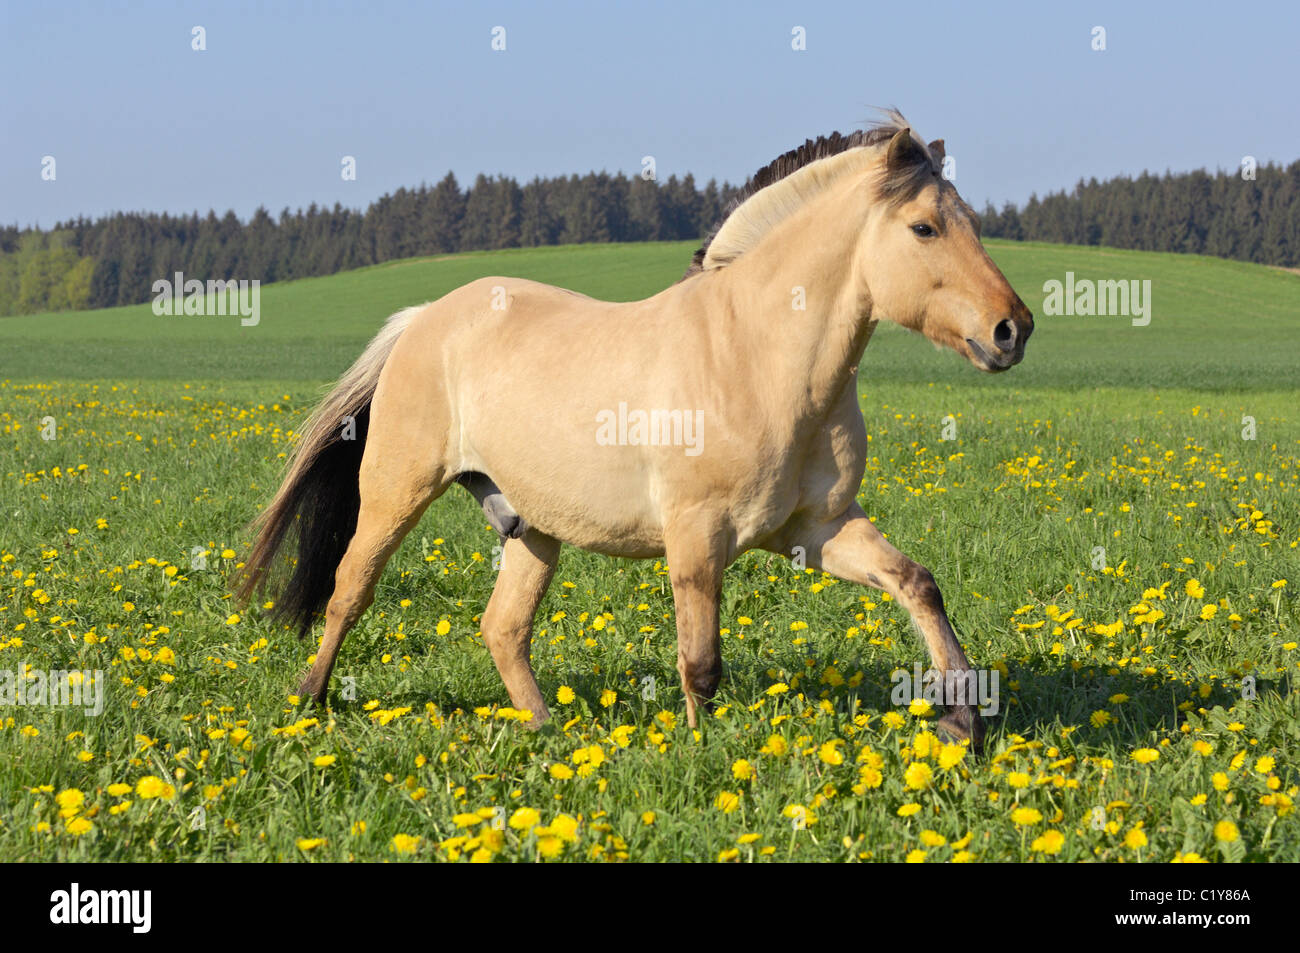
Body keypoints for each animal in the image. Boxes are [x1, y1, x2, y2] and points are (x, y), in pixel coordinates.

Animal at [238, 110, 1033, 750]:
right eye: (924, 227)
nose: (1013, 329)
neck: (756, 357)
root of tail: (421, 319)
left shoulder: (818, 527)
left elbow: (918, 584)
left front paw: (962, 720)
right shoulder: (697, 536)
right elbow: (701, 663)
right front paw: (701, 754)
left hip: (531, 524)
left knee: (503, 628)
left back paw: (549, 732)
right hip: (397, 492)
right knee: (350, 589)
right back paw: (309, 701)